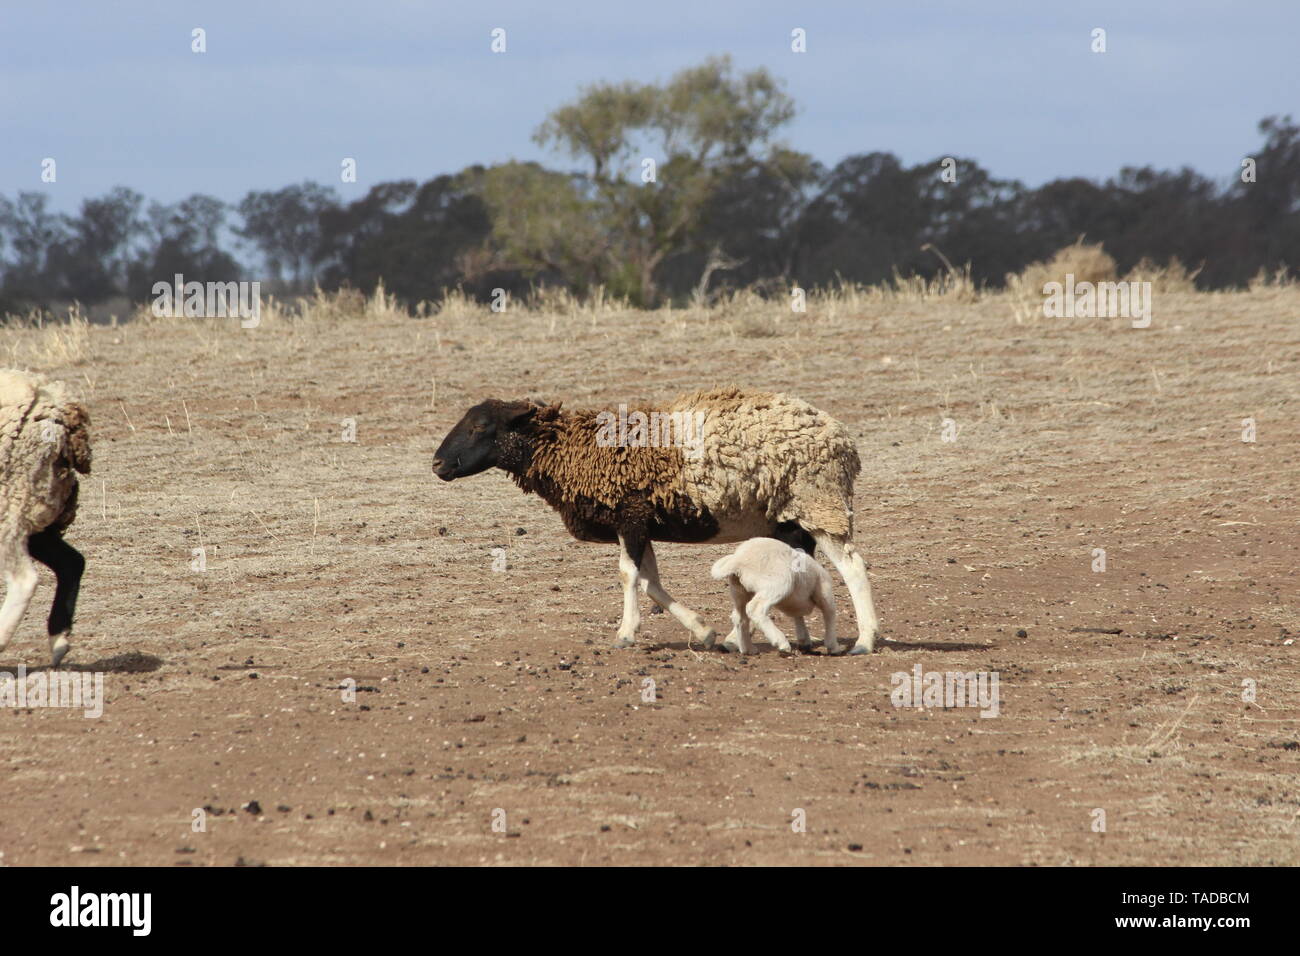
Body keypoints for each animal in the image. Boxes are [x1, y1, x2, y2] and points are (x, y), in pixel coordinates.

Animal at [710, 537, 839, 655]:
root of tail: (739, 560)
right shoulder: (823, 588)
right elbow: (830, 612)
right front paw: (833, 646)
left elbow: (799, 618)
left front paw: (804, 641)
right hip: (777, 583)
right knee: (755, 608)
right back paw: (781, 643)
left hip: (740, 591)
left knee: (739, 617)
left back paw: (748, 649)